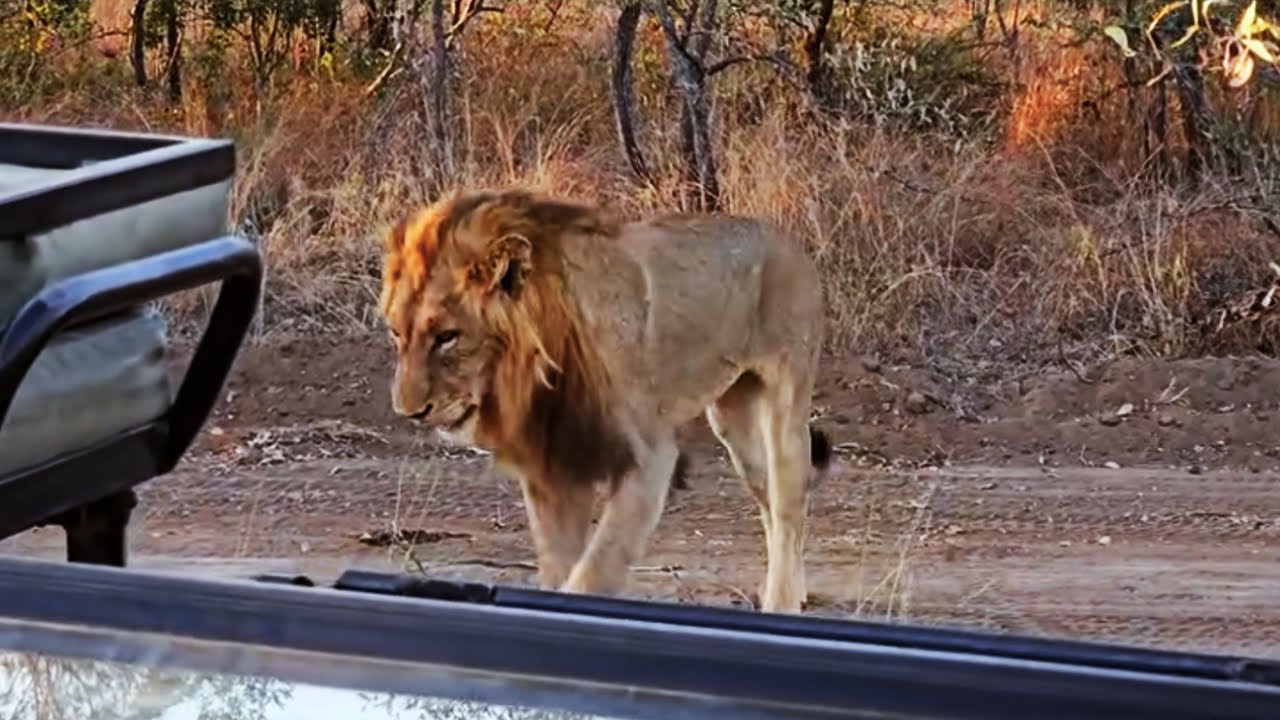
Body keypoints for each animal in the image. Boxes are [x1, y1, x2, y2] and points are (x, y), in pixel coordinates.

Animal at [377, 187, 830, 613]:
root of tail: (786, 239)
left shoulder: (649, 459)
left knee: (790, 504)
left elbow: (595, 569)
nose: (409, 412)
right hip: (734, 425)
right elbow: (561, 565)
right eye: (397, 333)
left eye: (447, 337)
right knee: (768, 500)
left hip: (787, 401)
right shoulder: (554, 469)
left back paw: (783, 602)